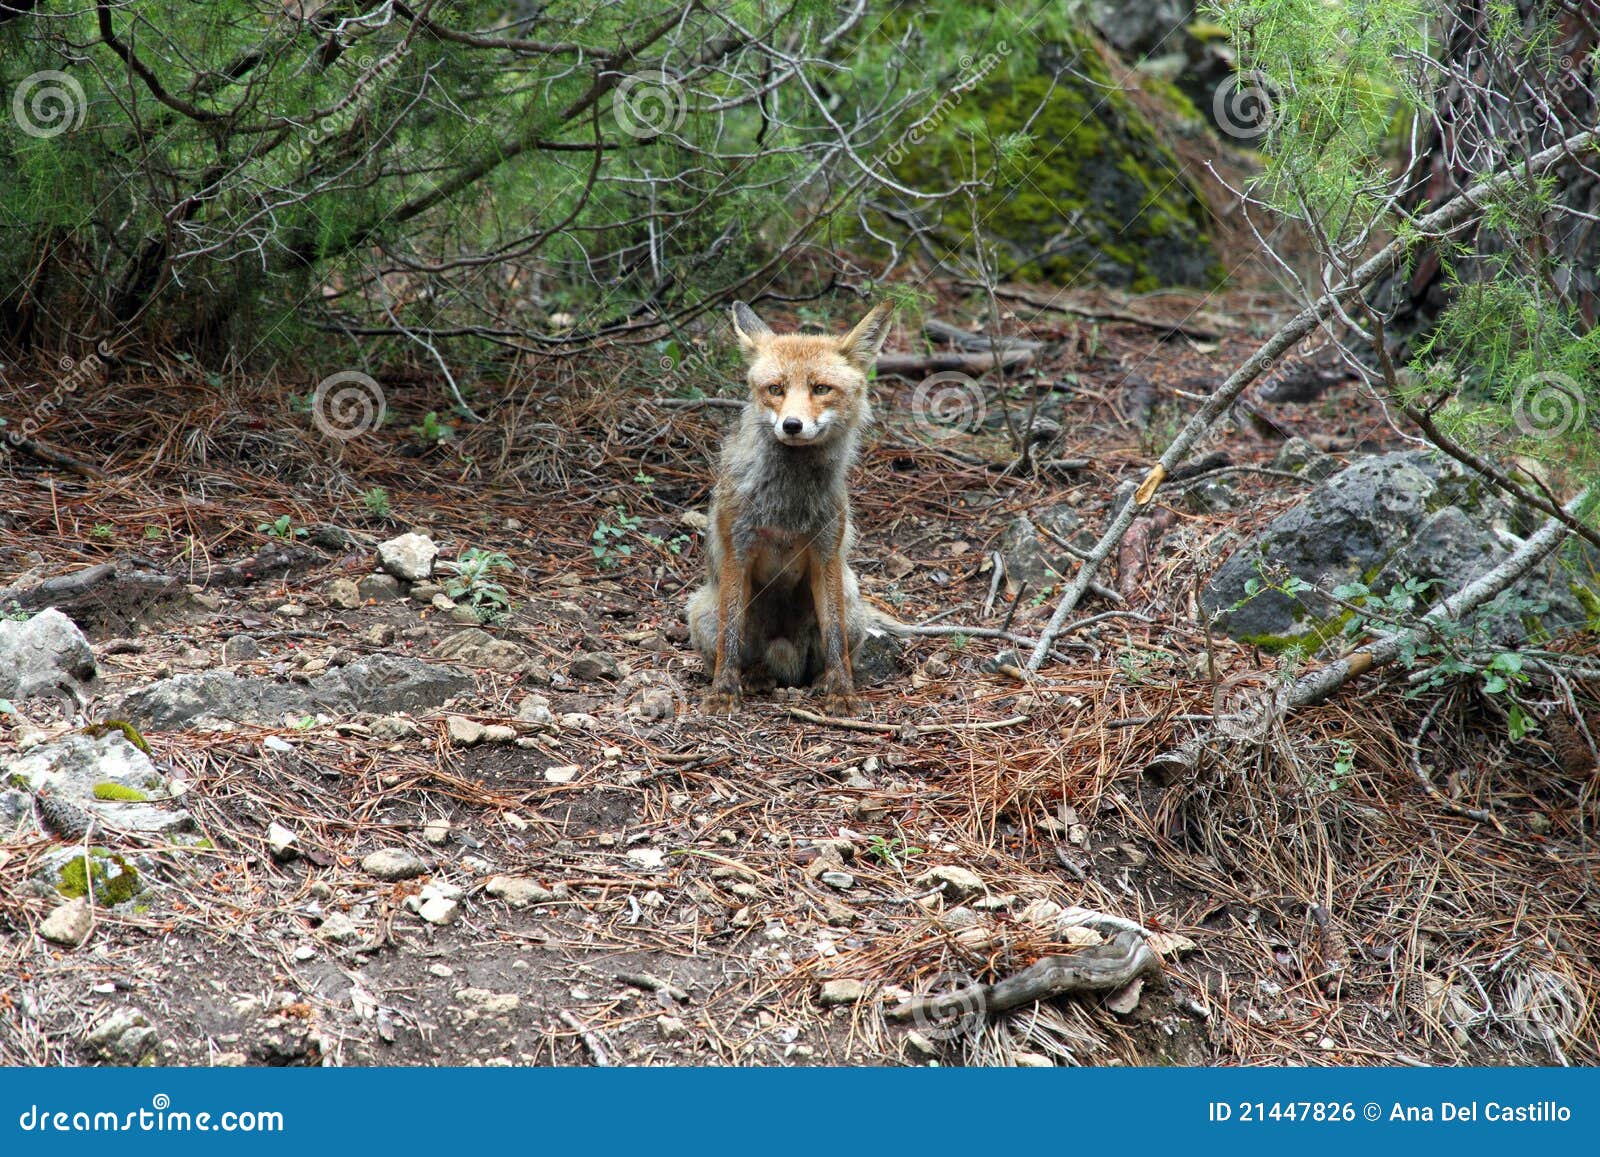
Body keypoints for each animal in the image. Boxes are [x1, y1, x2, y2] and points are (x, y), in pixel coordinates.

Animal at [687, 298, 897, 716]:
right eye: (775, 389)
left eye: (821, 389)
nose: (792, 425)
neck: (788, 503)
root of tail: (784, 654)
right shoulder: (738, 550)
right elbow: (729, 637)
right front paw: (723, 692)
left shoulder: (825, 552)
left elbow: (834, 638)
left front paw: (841, 692)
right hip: (702, 610)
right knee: (738, 650)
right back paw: (753, 677)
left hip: (852, 601)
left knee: (833, 650)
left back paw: (818, 681)